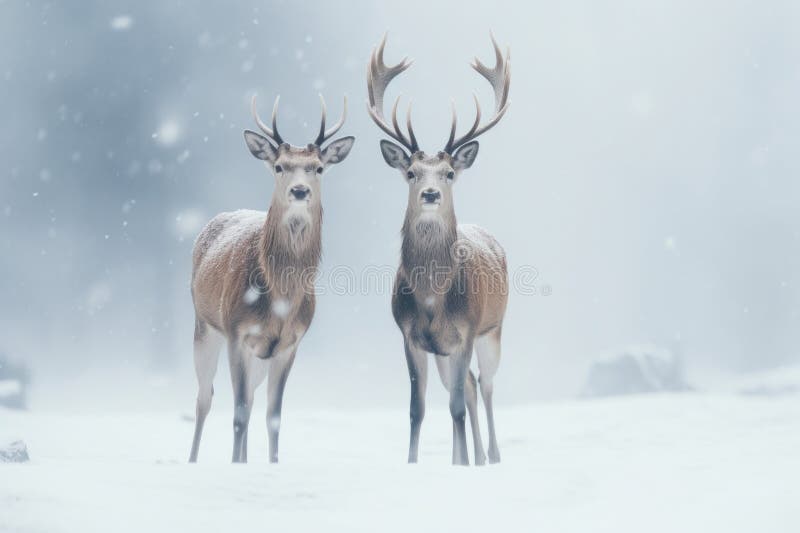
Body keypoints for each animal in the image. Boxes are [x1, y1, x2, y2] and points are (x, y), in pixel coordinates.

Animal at [189, 93, 354, 463]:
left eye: (318, 167)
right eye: (279, 166)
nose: (299, 191)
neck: (280, 299)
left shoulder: (289, 343)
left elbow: (273, 415)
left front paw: (271, 463)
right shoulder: (237, 333)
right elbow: (237, 413)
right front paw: (236, 465)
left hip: (257, 354)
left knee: (248, 400)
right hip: (204, 325)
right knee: (205, 397)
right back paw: (193, 459)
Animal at [367, 34, 511, 466]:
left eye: (448, 173)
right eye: (411, 172)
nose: (430, 193)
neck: (433, 298)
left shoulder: (466, 332)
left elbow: (457, 408)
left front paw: (459, 465)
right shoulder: (411, 336)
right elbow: (418, 409)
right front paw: (416, 463)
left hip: (493, 329)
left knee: (486, 386)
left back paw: (491, 456)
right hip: (445, 351)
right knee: (469, 386)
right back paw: (474, 456)